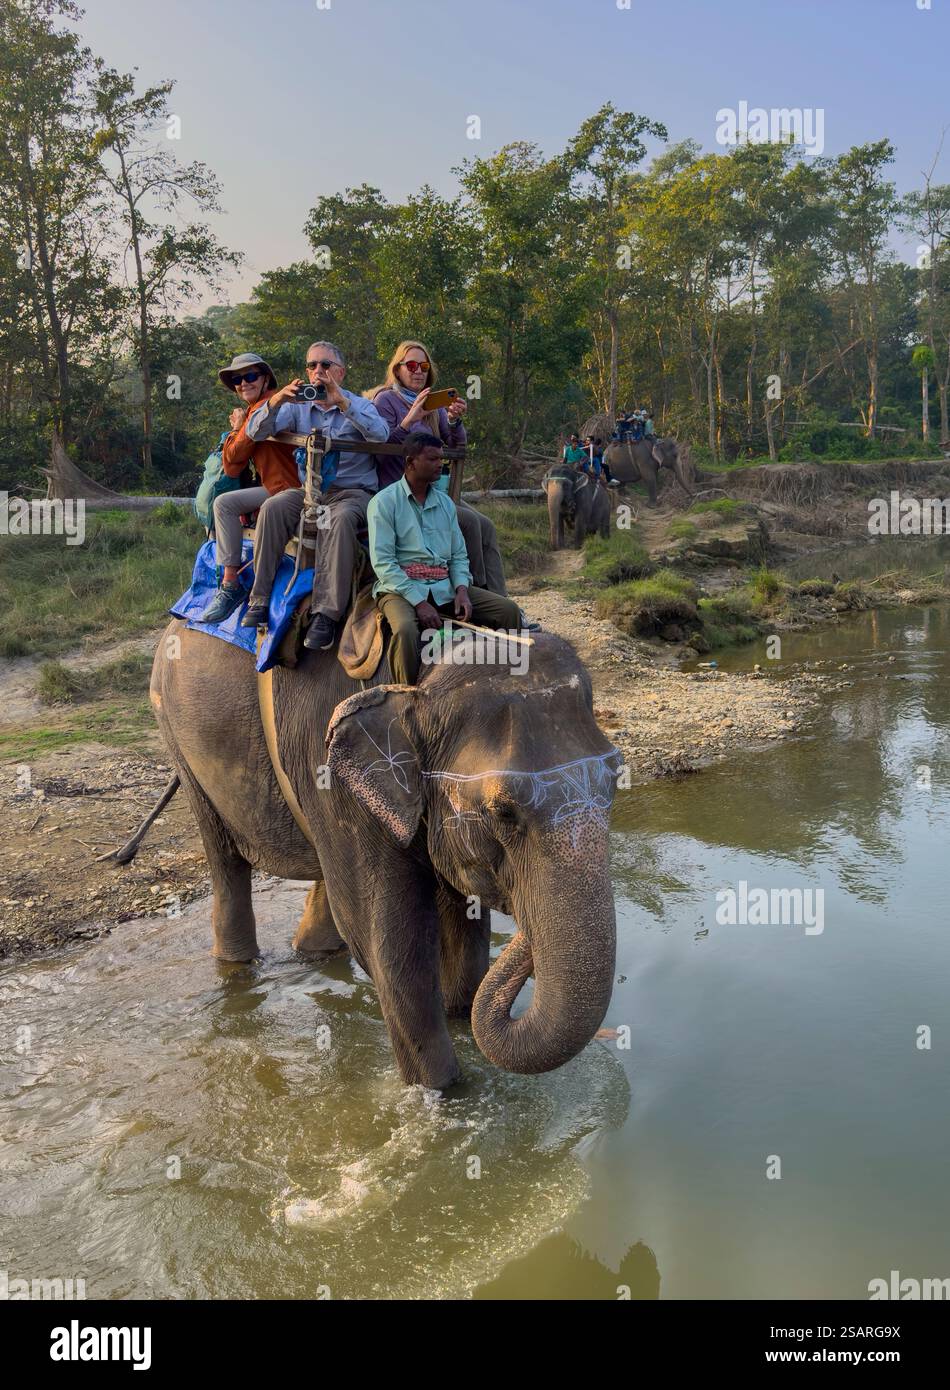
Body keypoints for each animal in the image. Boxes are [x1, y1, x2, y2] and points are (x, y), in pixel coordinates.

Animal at [149, 622, 620, 1090]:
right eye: (503, 812)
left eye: (616, 779)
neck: (423, 678)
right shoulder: (328, 768)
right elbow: (388, 946)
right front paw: (441, 1094)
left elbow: (465, 936)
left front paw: (457, 1015)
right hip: (178, 740)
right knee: (225, 859)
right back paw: (238, 967)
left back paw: (314, 952)